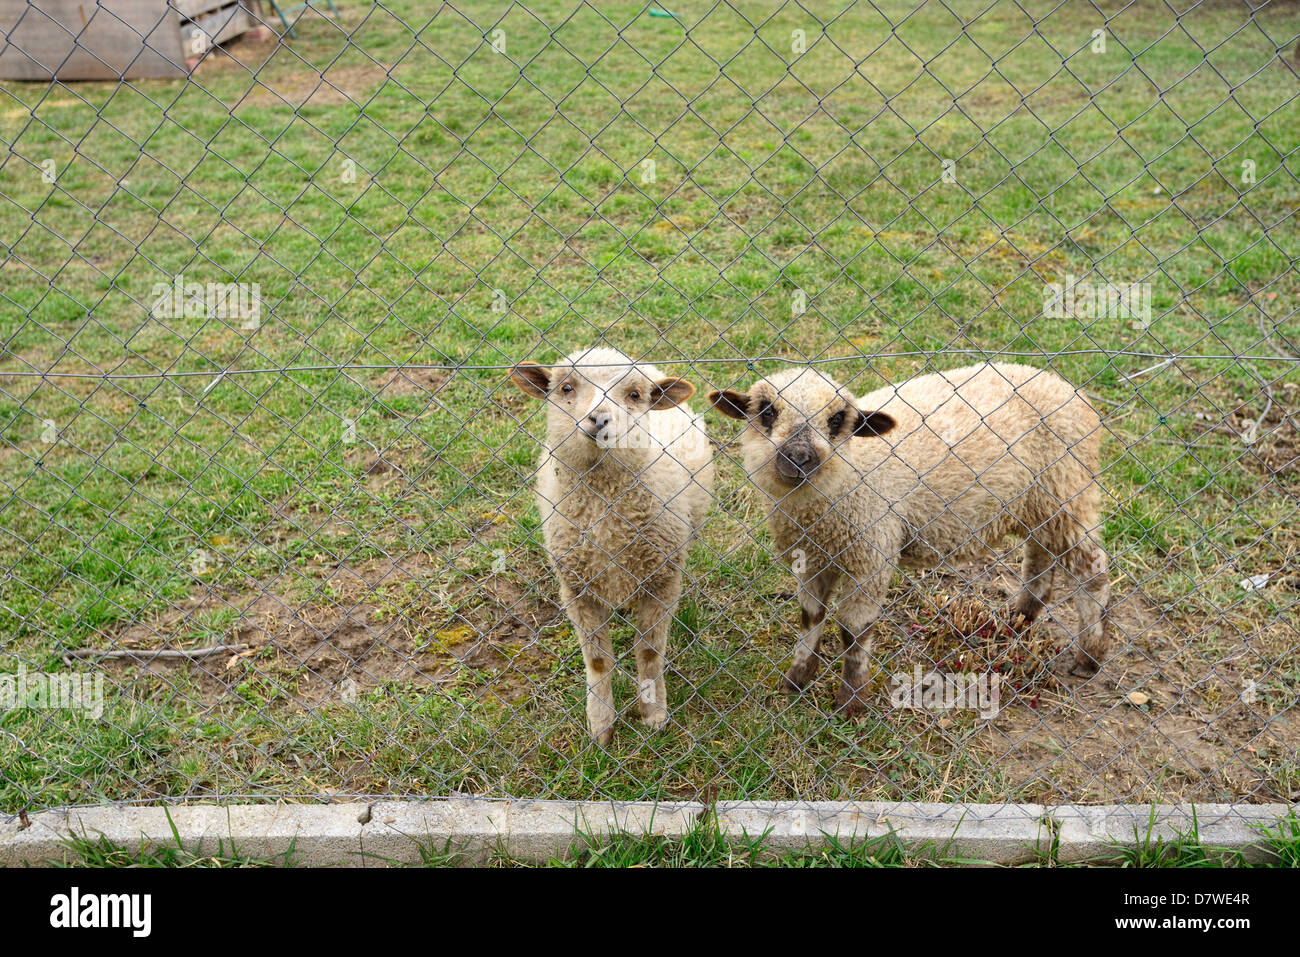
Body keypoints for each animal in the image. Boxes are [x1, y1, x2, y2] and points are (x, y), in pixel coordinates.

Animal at [510, 348, 715, 744]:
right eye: (566, 388)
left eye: (634, 395)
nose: (599, 419)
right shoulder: (576, 587)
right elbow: (598, 659)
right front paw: (601, 725)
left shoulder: (662, 579)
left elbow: (649, 652)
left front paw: (653, 713)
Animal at [708, 361, 1110, 714]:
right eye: (767, 412)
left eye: (837, 420)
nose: (798, 457)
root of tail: (1068, 389)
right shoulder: (814, 556)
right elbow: (810, 617)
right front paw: (796, 680)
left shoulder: (871, 554)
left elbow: (854, 631)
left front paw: (851, 702)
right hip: (1039, 504)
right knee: (1042, 555)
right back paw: (1022, 617)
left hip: (1067, 492)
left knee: (1091, 568)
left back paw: (1089, 655)